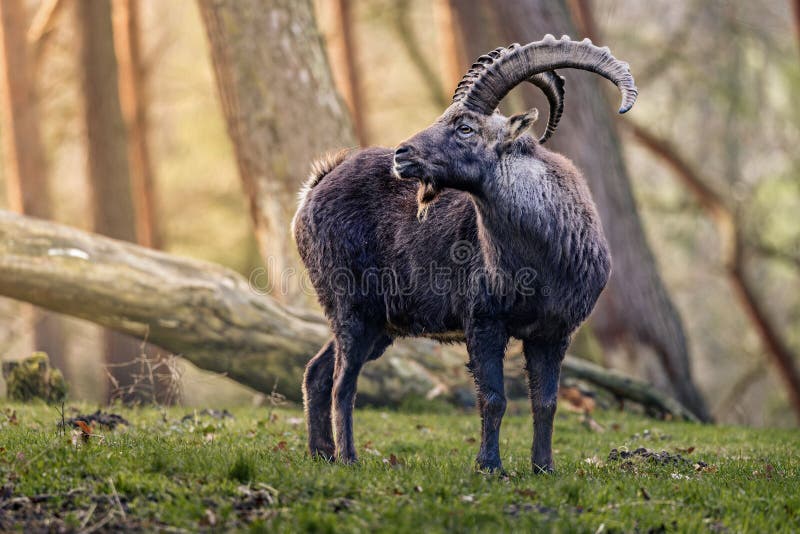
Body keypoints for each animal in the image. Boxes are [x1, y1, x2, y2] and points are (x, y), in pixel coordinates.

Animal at [293, 35, 637, 473]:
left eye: (465, 127)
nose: (402, 155)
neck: (541, 258)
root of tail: (315, 187)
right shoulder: (484, 323)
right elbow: (494, 399)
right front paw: (489, 466)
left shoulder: (553, 333)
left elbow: (546, 403)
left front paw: (543, 468)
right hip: (352, 308)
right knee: (342, 383)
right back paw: (349, 458)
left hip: (377, 326)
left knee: (317, 373)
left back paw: (322, 454)